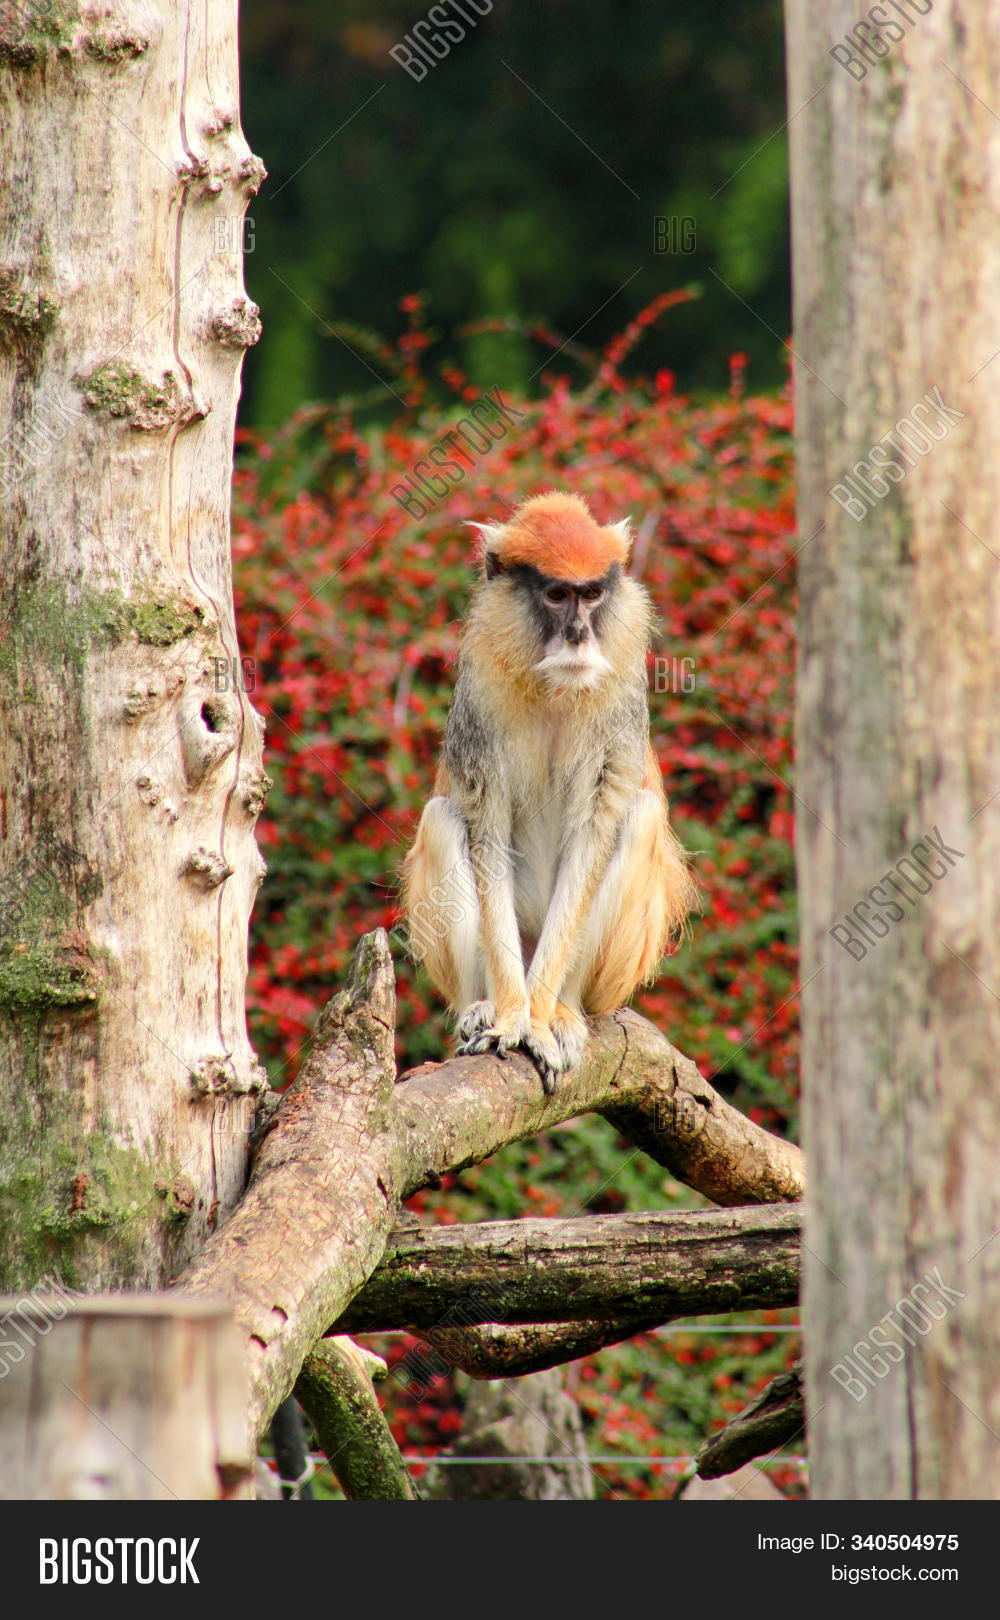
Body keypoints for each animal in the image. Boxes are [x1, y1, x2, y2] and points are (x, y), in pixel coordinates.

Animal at [402, 490, 698, 1094]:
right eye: (558, 595)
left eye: (592, 594)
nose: (579, 634)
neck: (553, 687)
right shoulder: (479, 702)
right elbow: (484, 831)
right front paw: (512, 1016)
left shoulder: (620, 706)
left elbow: (595, 835)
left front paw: (537, 1019)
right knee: (442, 818)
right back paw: (482, 1006)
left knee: (639, 817)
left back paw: (563, 1009)